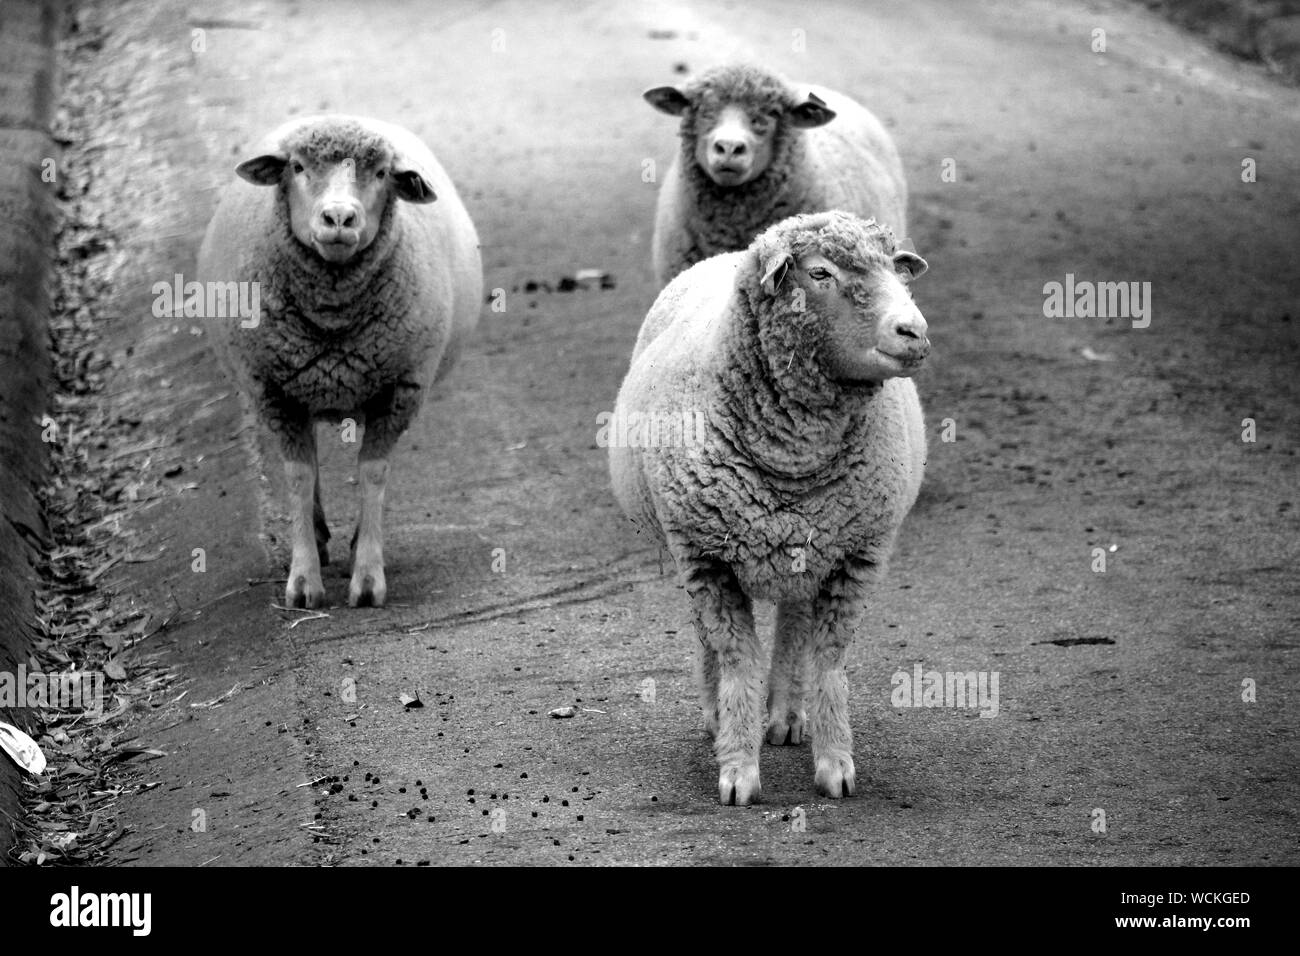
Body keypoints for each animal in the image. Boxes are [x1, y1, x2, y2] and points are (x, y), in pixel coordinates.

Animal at [197, 114, 482, 609]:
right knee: (309, 457)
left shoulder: (400, 391)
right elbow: (298, 475)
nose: (339, 218)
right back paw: (314, 534)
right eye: (296, 166)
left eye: (383, 173)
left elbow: (372, 473)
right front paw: (303, 580)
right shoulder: (274, 392)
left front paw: (367, 577)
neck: (333, 316)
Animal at [608, 210, 930, 805]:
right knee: (706, 634)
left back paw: (786, 715)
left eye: (898, 271)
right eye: (820, 273)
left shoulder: (858, 558)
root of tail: (729, 251)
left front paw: (835, 763)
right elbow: (737, 658)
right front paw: (737, 769)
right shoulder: (705, 558)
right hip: (691, 545)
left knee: (794, 621)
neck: (794, 459)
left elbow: (829, 659)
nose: (914, 331)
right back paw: (716, 715)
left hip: (808, 547)